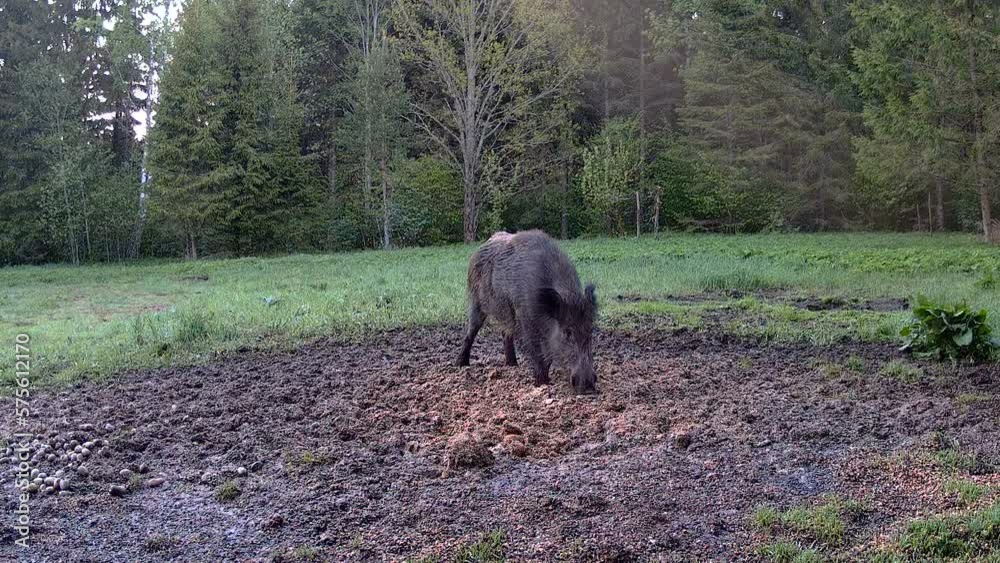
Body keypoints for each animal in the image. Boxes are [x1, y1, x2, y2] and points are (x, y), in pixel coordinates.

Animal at [456, 230, 598, 394]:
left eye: (590, 330)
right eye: (567, 333)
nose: (588, 387)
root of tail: (479, 248)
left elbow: (547, 355)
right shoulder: (525, 320)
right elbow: (538, 353)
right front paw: (542, 383)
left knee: (505, 332)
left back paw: (512, 364)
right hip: (476, 301)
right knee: (471, 332)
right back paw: (461, 364)